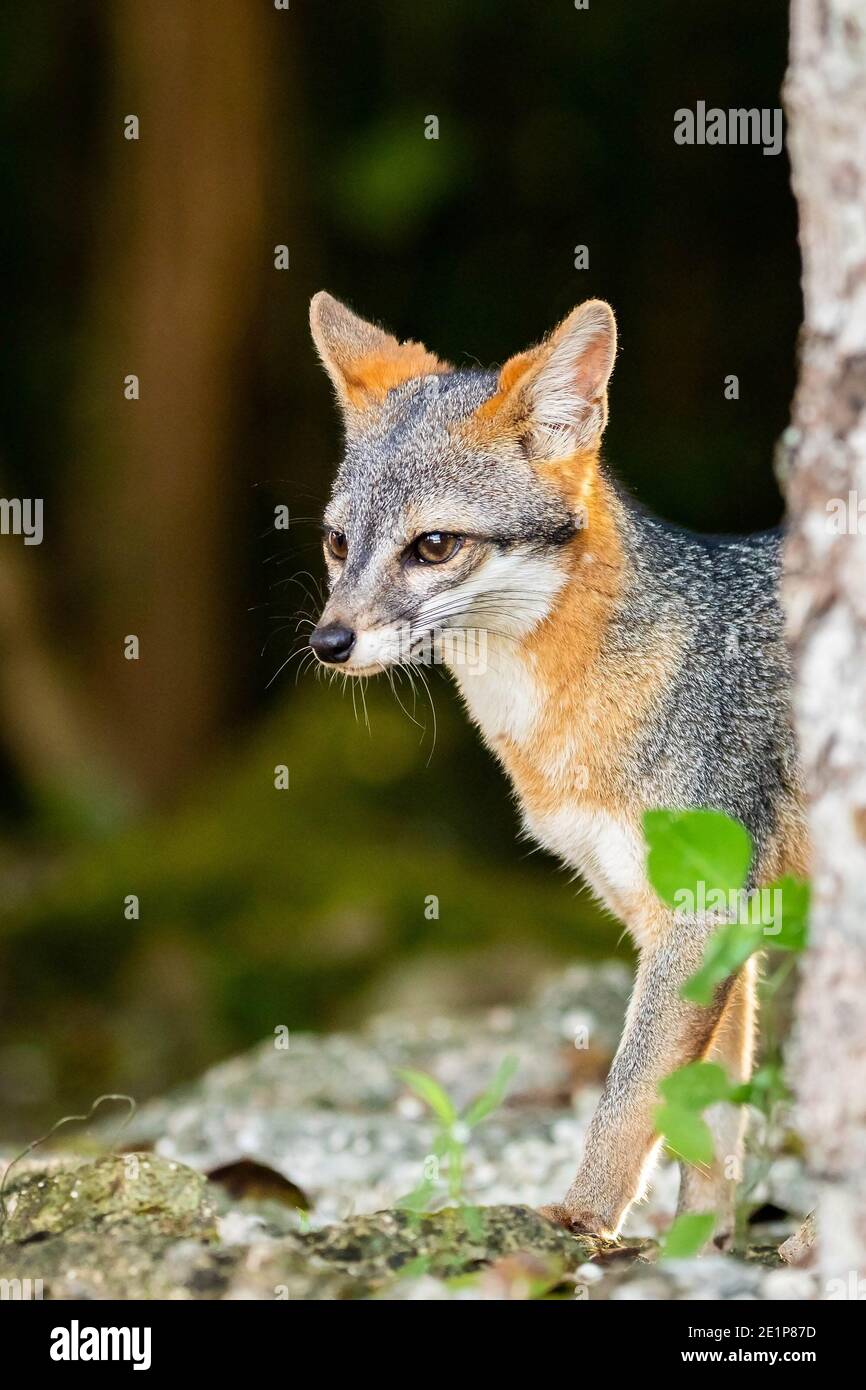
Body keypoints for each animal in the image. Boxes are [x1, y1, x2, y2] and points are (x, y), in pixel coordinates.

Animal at [306, 290, 809, 1246]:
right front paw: (701, 1247)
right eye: (336, 544)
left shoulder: (700, 915)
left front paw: (580, 1220)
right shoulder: (688, 922)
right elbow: (707, 1125)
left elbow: (630, 1098)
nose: (328, 642)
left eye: (433, 546)